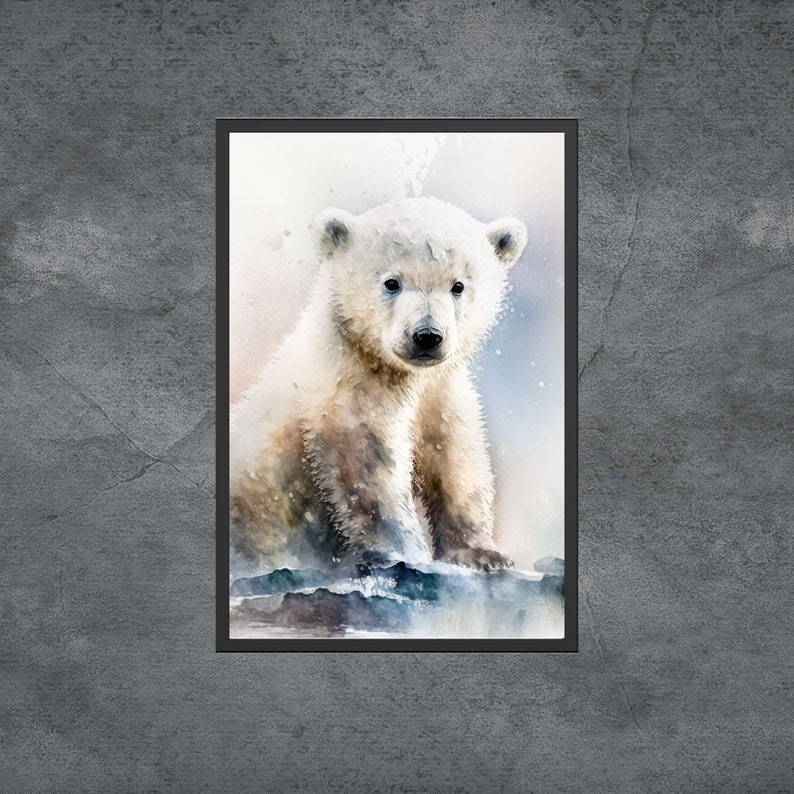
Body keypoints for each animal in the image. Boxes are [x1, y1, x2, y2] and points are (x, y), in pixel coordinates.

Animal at [229, 196, 527, 575]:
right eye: (391, 282)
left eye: (458, 286)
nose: (427, 336)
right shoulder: (346, 392)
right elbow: (371, 465)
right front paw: (404, 552)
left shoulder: (442, 393)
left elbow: (456, 459)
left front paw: (482, 553)